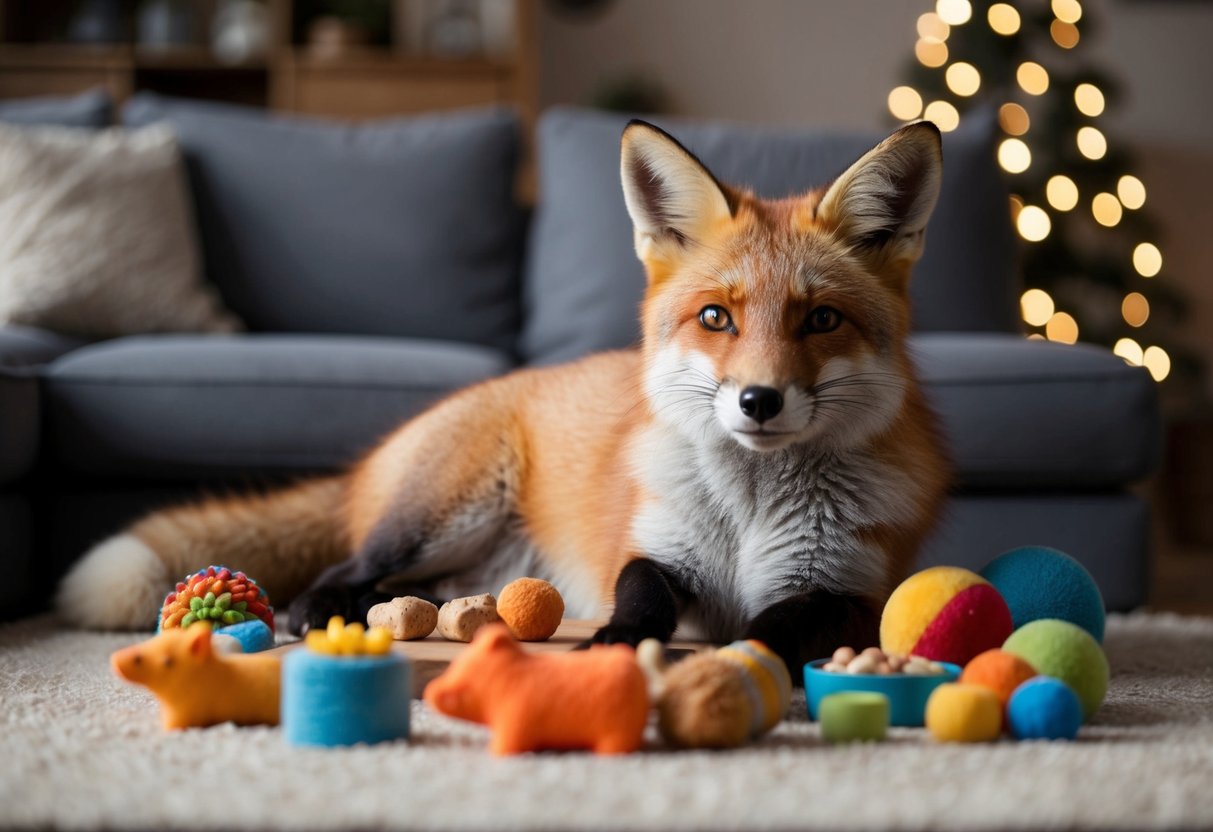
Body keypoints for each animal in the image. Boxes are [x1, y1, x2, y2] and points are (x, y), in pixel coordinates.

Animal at [58, 119, 950, 676]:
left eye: (821, 319)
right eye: (715, 318)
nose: (758, 401)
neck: (747, 517)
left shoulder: (841, 587)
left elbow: (769, 629)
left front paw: (740, 659)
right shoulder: (657, 550)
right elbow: (637, 603)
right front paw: (612, 646)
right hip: (438, 517)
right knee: (338, 569)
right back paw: (326, 607)